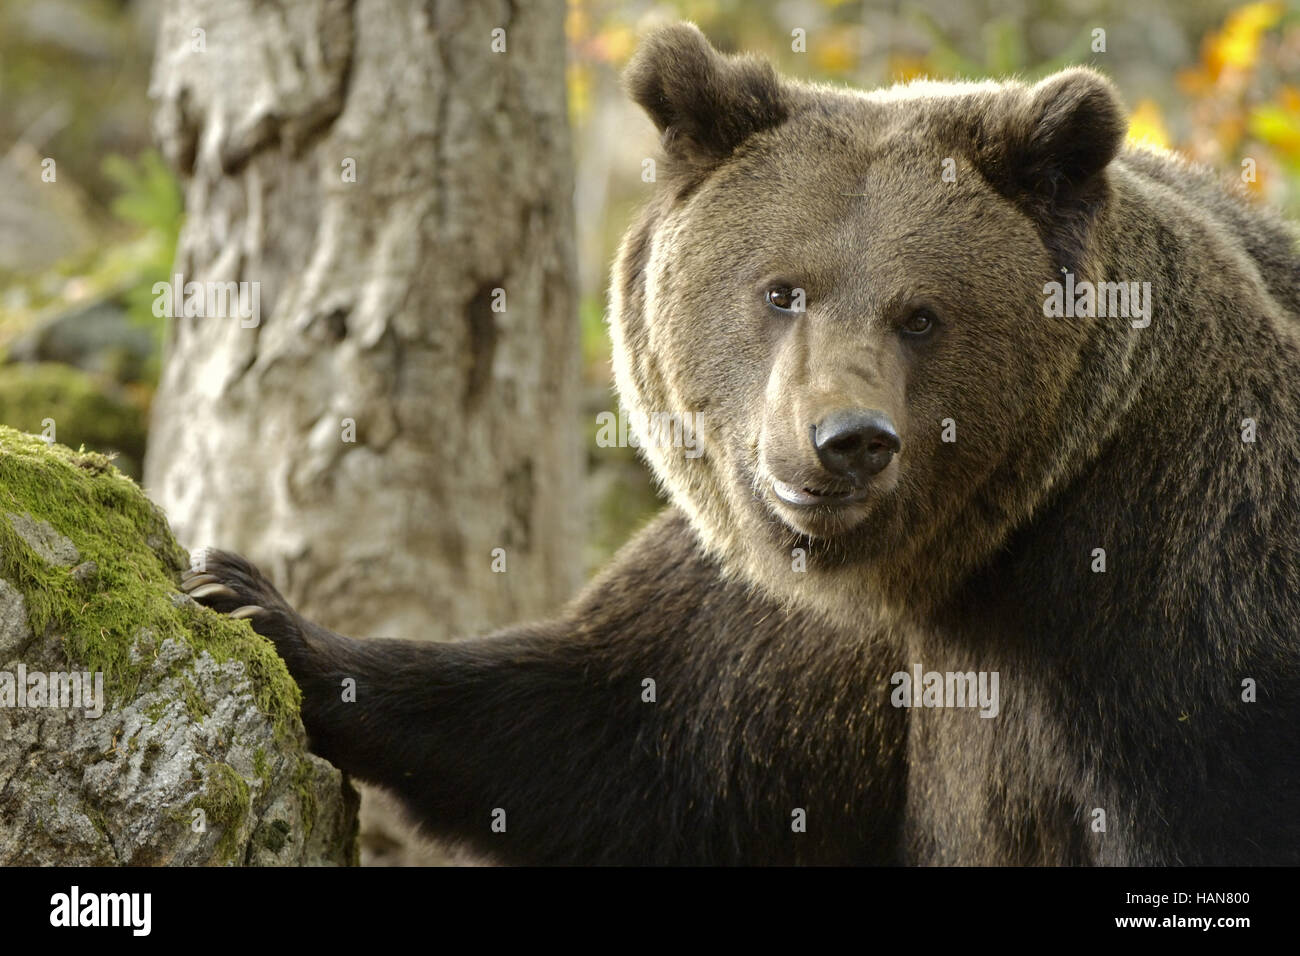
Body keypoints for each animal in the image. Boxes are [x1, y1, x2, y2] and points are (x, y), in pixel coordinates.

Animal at [185, 23, 1300, 865]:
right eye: (782, 289)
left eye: (920, 313)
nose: (846, 441)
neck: (946, 559)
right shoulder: (769, 604)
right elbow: (619, 736)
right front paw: (256, 604)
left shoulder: (1172, 584)